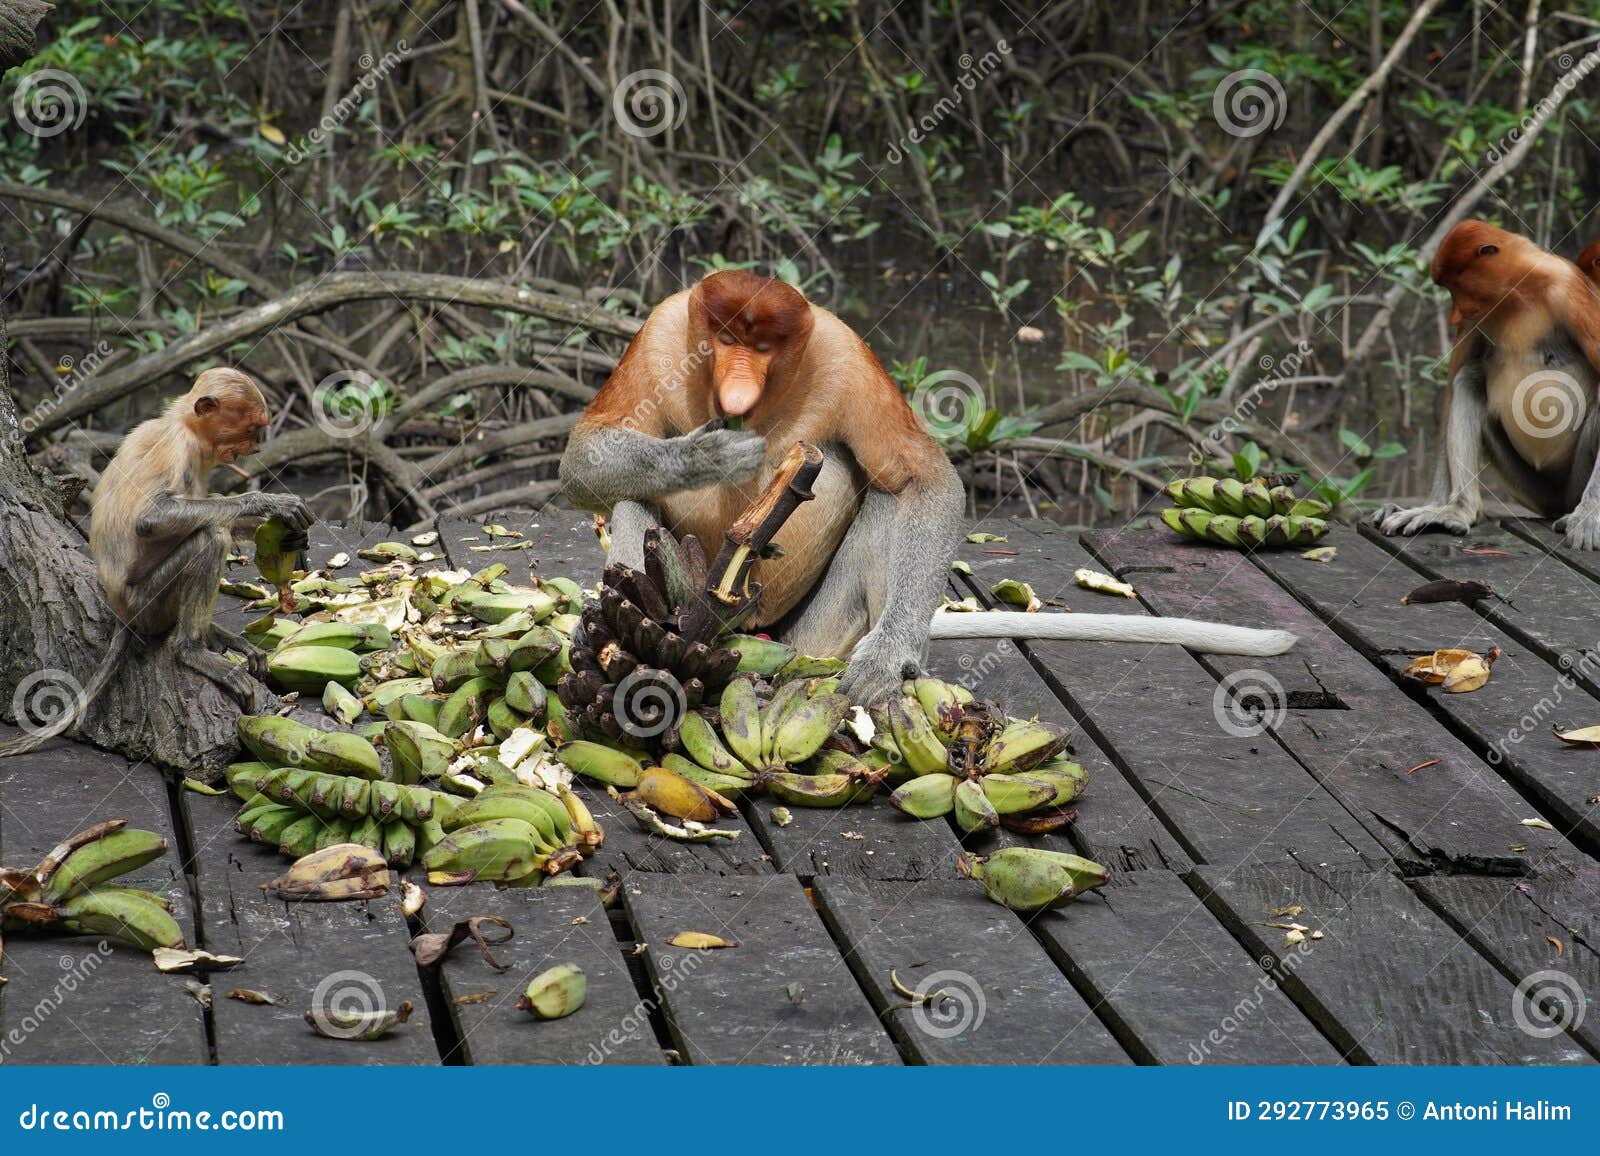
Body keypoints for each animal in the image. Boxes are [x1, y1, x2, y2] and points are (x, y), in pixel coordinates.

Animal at [1, 368, 314, 757]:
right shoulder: (178, 448)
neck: (181, 422)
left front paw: (291, 538)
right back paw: (191, 649)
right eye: (250, 429)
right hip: (148, 602)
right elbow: (151, 519)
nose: (255, 448)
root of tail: (121, 612)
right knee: (209, 537)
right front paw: (269, 502)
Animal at [559, 270, 1296, 706]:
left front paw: (892, 658)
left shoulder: (845, 355)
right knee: (630, 493)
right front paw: (707, 454)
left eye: (764, 347)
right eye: (724, 336)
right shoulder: (661, 333)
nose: (738, 384)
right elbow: (585, 455)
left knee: (884, 493)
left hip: (815, 629)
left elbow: (925, 479)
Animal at [1374, 220, 1600, 550]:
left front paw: (1589, 518)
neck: (1518, 292)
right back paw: (1458, 511)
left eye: (1458, 284)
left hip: (1573, 482)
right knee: (1468, 379)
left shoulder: (1568, 289)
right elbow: (1452, 387)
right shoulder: (1477, 318)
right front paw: (1433, 506)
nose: (1455, 314)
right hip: (1531, 487)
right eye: (1447, 288)